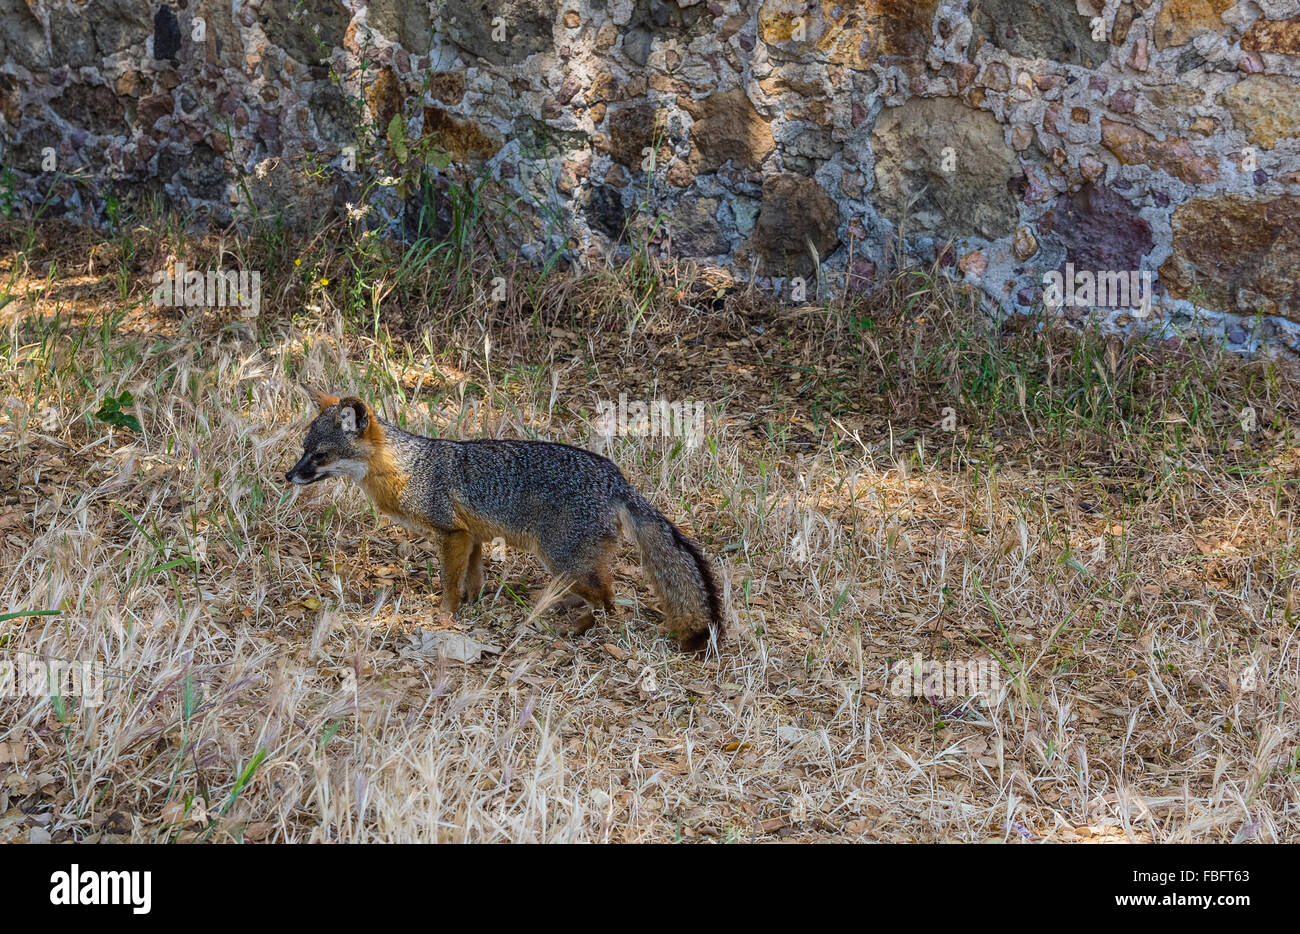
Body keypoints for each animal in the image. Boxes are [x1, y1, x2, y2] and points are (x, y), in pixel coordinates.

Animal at [285, 391, 722, 650]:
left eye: (320, 456)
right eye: (304, 449)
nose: (289, 476)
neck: (409, 468)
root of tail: (618, 479)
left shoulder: (451, 533)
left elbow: (449, 583)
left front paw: (444, 618)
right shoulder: (473, 536)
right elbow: (472, 578)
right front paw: (473, 604)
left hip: (561, 557)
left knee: (608, 601)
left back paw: (576, 627)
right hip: (570, 561)